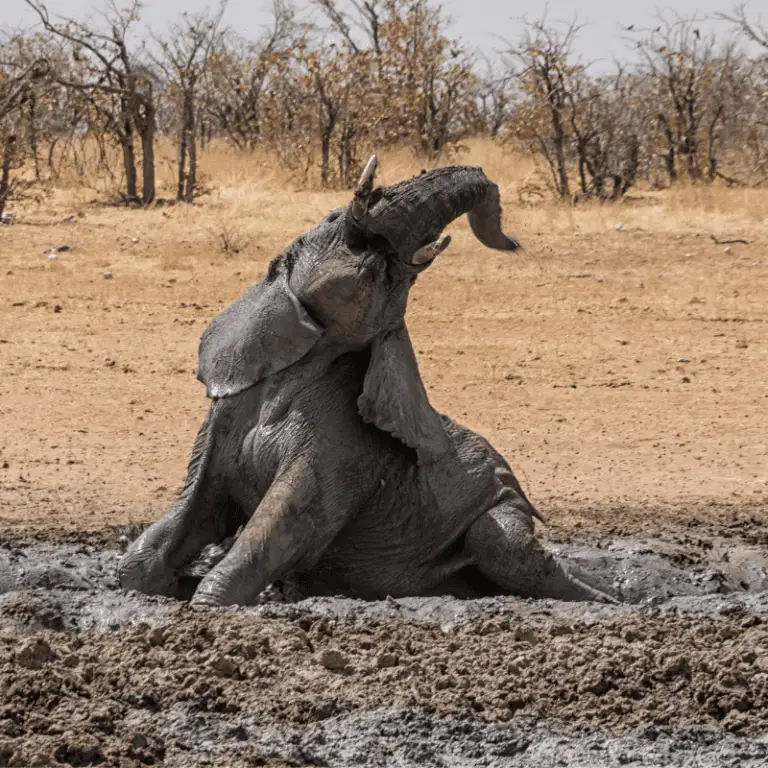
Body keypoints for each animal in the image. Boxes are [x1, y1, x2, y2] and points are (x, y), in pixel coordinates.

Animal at [118, 157, 614, 607]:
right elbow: (179, 526)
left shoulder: (344, 452)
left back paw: (611, 598)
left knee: (502, 546)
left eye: (405, 275)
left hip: (503, 508)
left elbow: (287, 523)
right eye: (337, 222)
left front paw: (207, 604)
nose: (512, 242)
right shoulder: (225, 416)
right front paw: (164, 583)